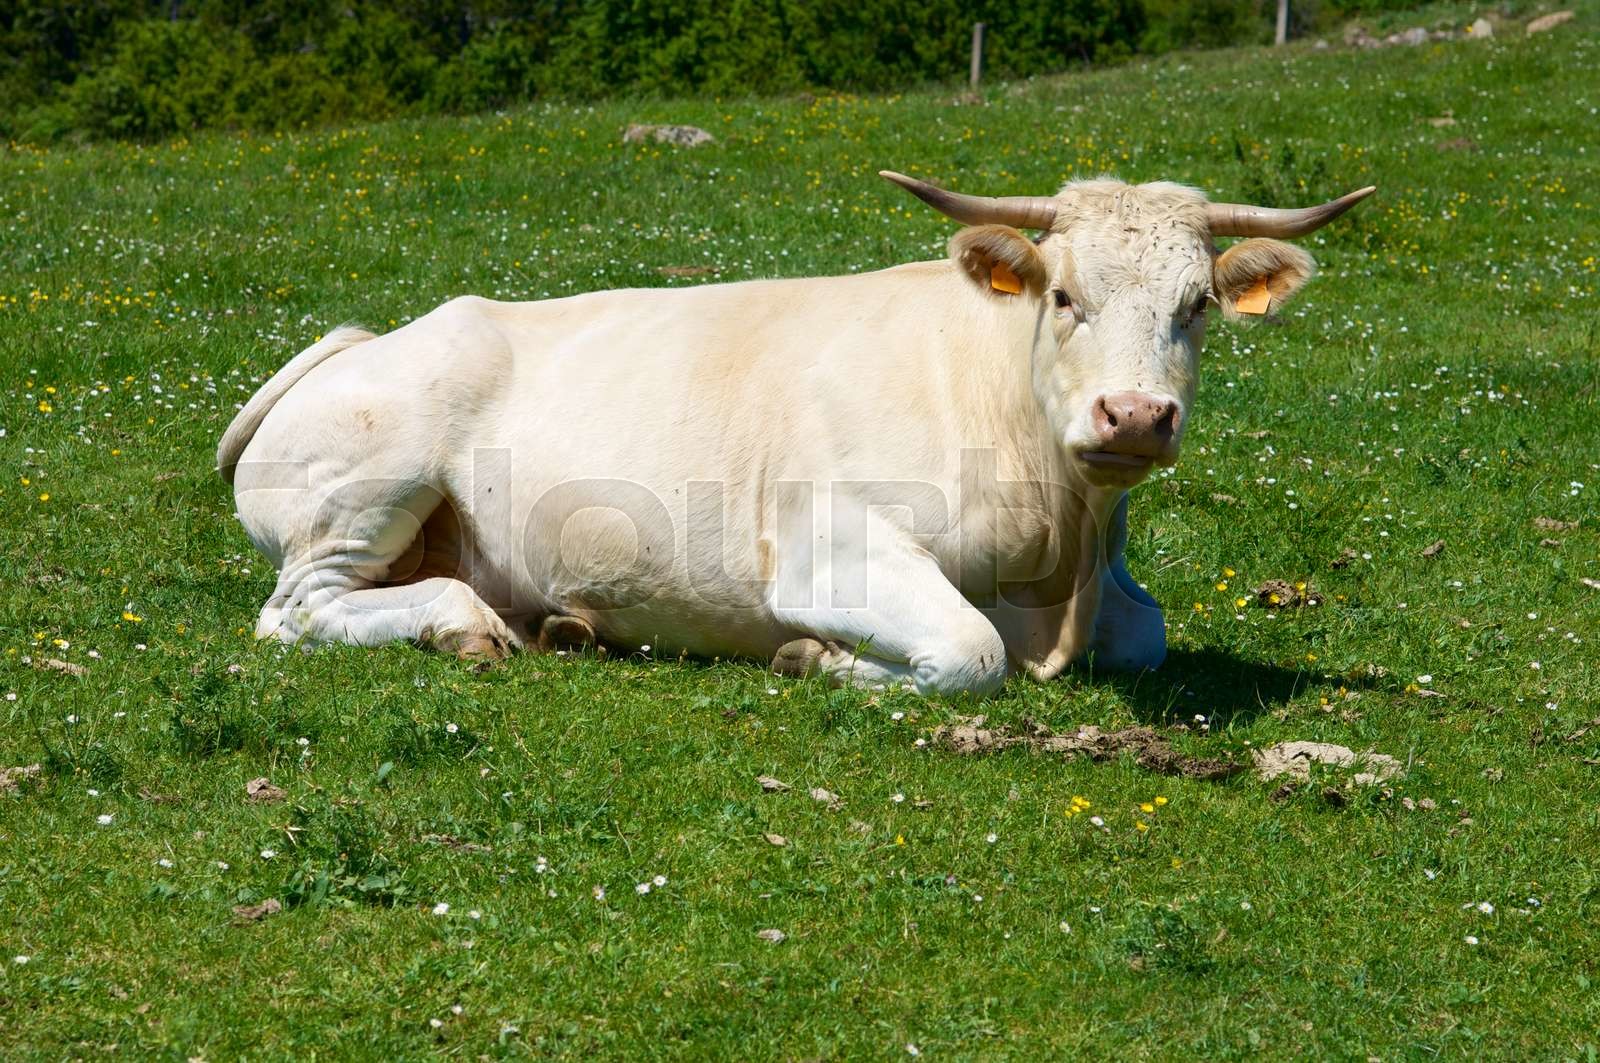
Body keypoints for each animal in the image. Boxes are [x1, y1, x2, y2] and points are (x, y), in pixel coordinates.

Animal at [217, 171, 1373, 696]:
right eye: (1063, 296)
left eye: (1196, 306)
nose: (1135, 416)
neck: (1061, 552)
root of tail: (372, 334)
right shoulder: (831, 547)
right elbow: (971, 651)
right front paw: (816, 656)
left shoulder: (1117, 595)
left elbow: (1144, 633)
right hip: (369, 481)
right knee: (296, 611)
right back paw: (461, 623)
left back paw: (556, 623)